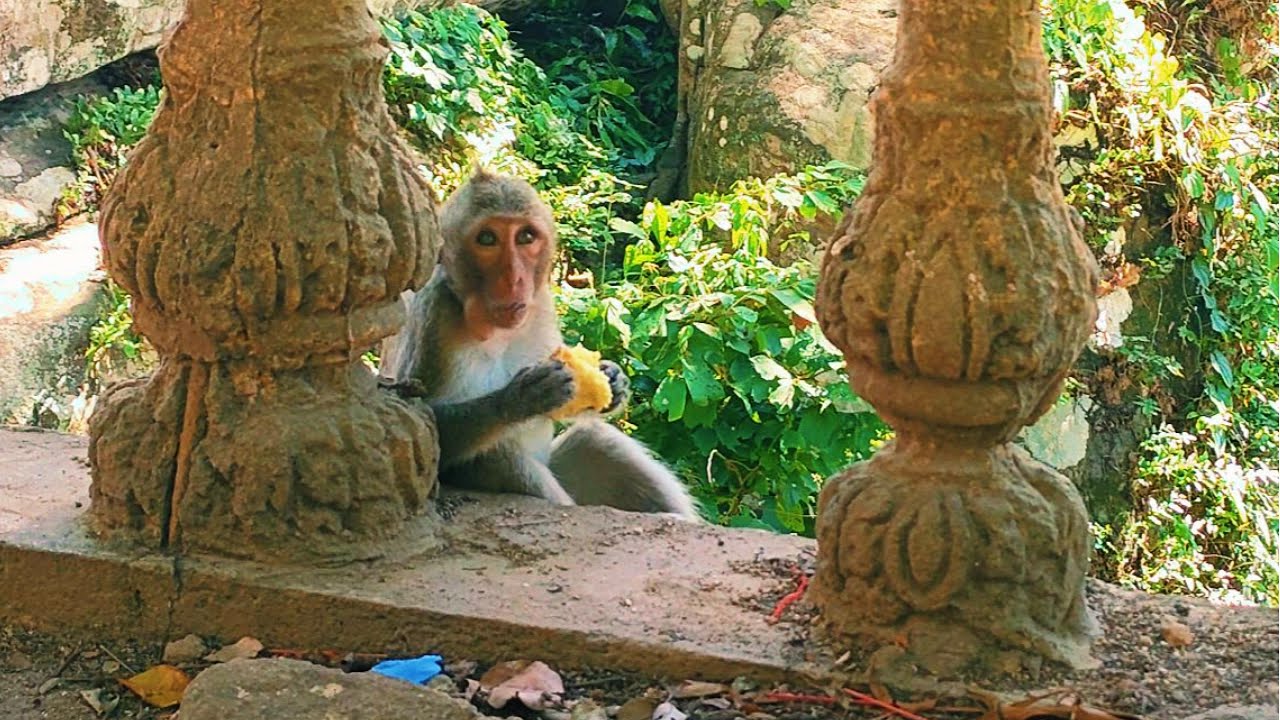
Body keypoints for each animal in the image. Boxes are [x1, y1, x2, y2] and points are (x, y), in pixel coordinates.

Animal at [380, 169, 699, 520]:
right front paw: (521, 398)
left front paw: (614, 381)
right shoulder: (433, 316)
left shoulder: (541, 303)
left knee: (596, 440)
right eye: (487, 239)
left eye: (525, 237)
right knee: (503, 459)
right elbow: (424, 428)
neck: (492, 329)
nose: (513, 279)